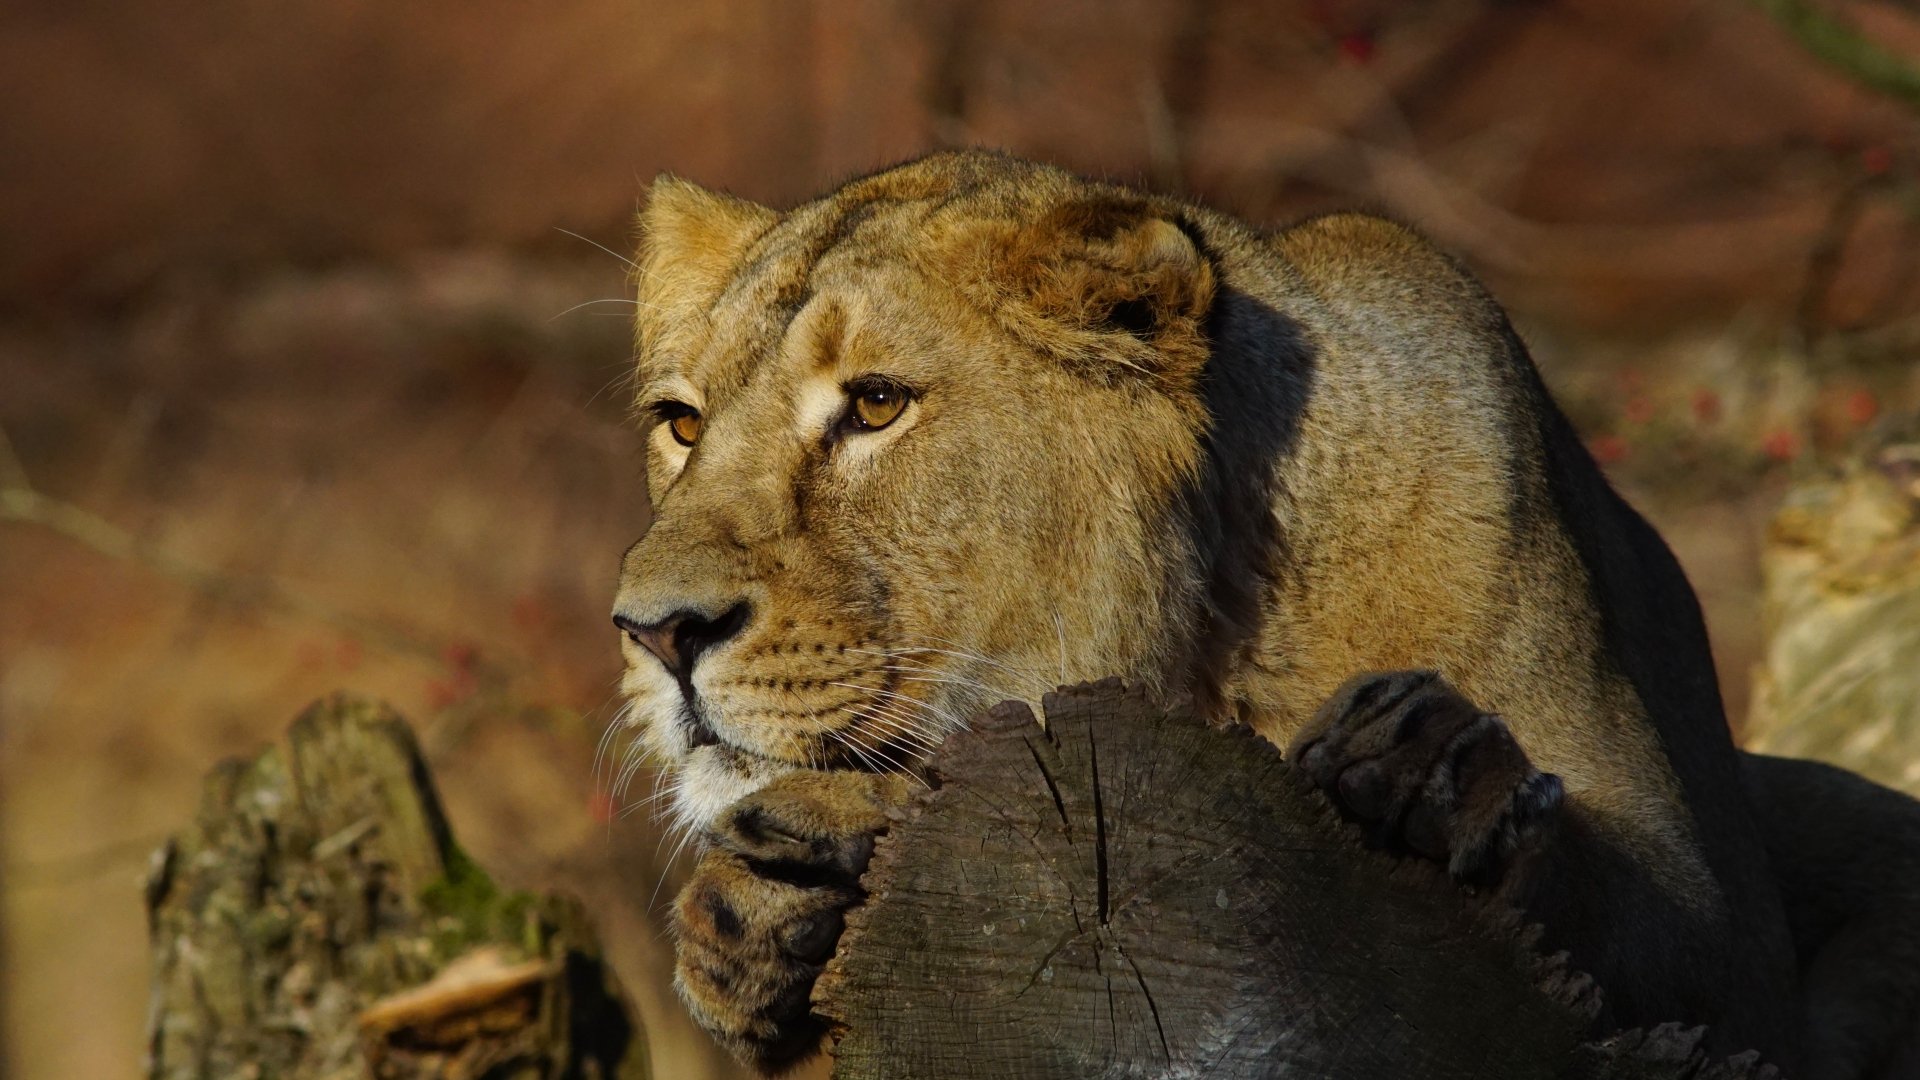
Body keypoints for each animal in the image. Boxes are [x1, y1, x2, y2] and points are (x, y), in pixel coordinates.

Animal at [612, 151, 1920, 1077]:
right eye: (681, 424)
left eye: (877, 405)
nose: (655, 632)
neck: (1209, 647)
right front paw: (756, 910)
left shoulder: (1730, 956)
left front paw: (1432, 768)